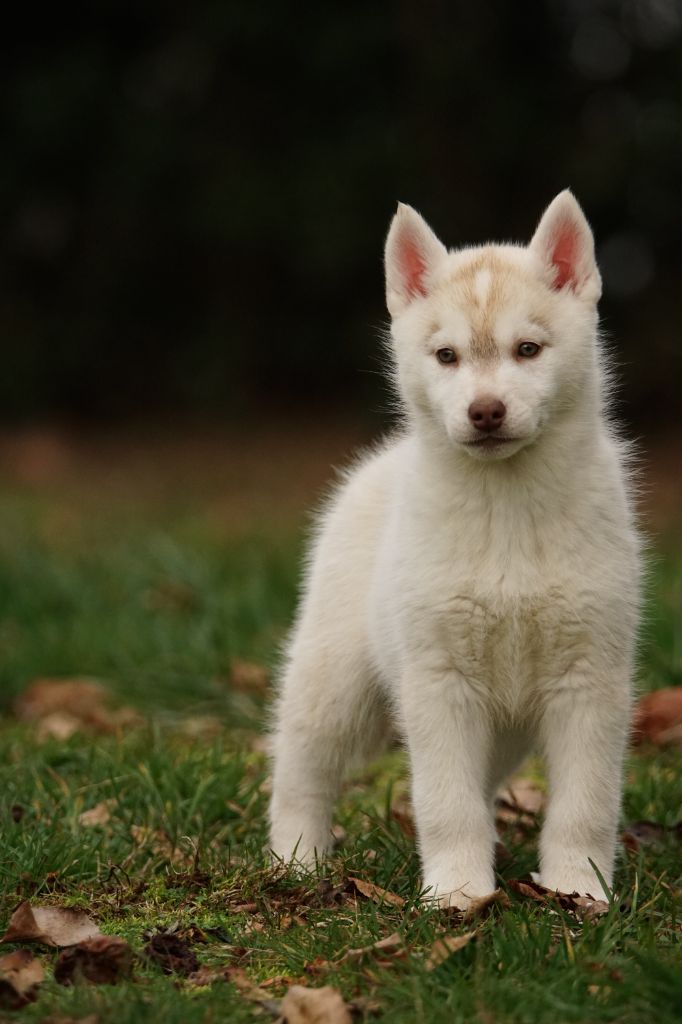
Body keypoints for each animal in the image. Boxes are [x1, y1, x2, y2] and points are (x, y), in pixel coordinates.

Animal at [269, 191, 641, 908]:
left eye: (528, 349)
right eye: (446, 355)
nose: (485, 411)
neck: (508, 509)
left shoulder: (590, 682)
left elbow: (585, 804)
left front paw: (578, 890)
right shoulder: (440, 684)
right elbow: (447, 801)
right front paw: (456, 894)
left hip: (504, 728)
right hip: (333, 681)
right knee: (300, 765)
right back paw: (295, 858)